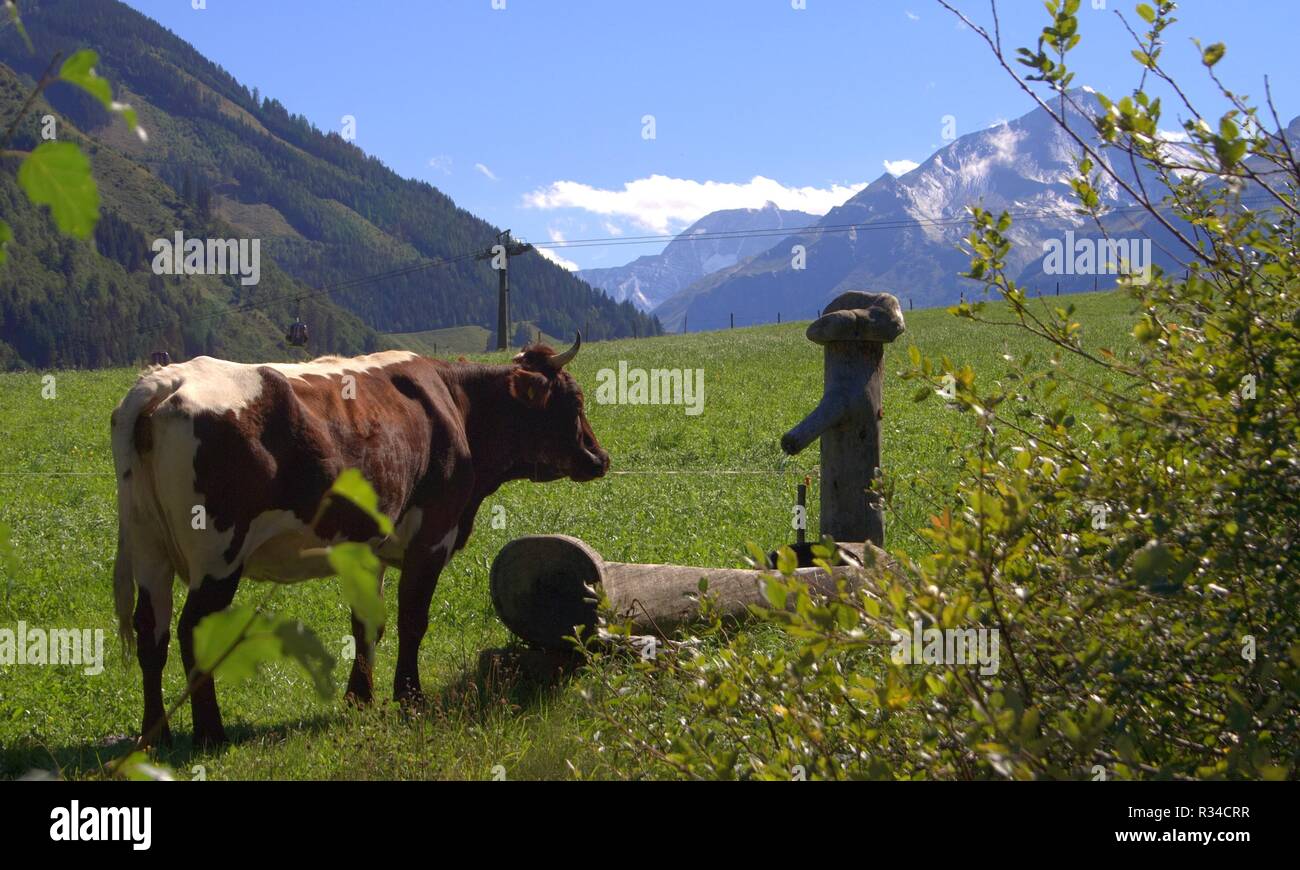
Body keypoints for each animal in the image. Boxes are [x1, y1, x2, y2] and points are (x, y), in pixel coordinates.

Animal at [109, 335, 608, 747]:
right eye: (575, 399)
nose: (599, 457)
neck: (457, 407)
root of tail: (165, 380)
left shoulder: (369, 550)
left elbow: (368, 623)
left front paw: (360, 698)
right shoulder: (432, 538)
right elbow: (412, 621)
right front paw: (409, 696)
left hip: (149, 549)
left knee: (150, 632)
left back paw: (154, 735)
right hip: (217, 556)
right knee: (191, 630)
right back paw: (210, 732)